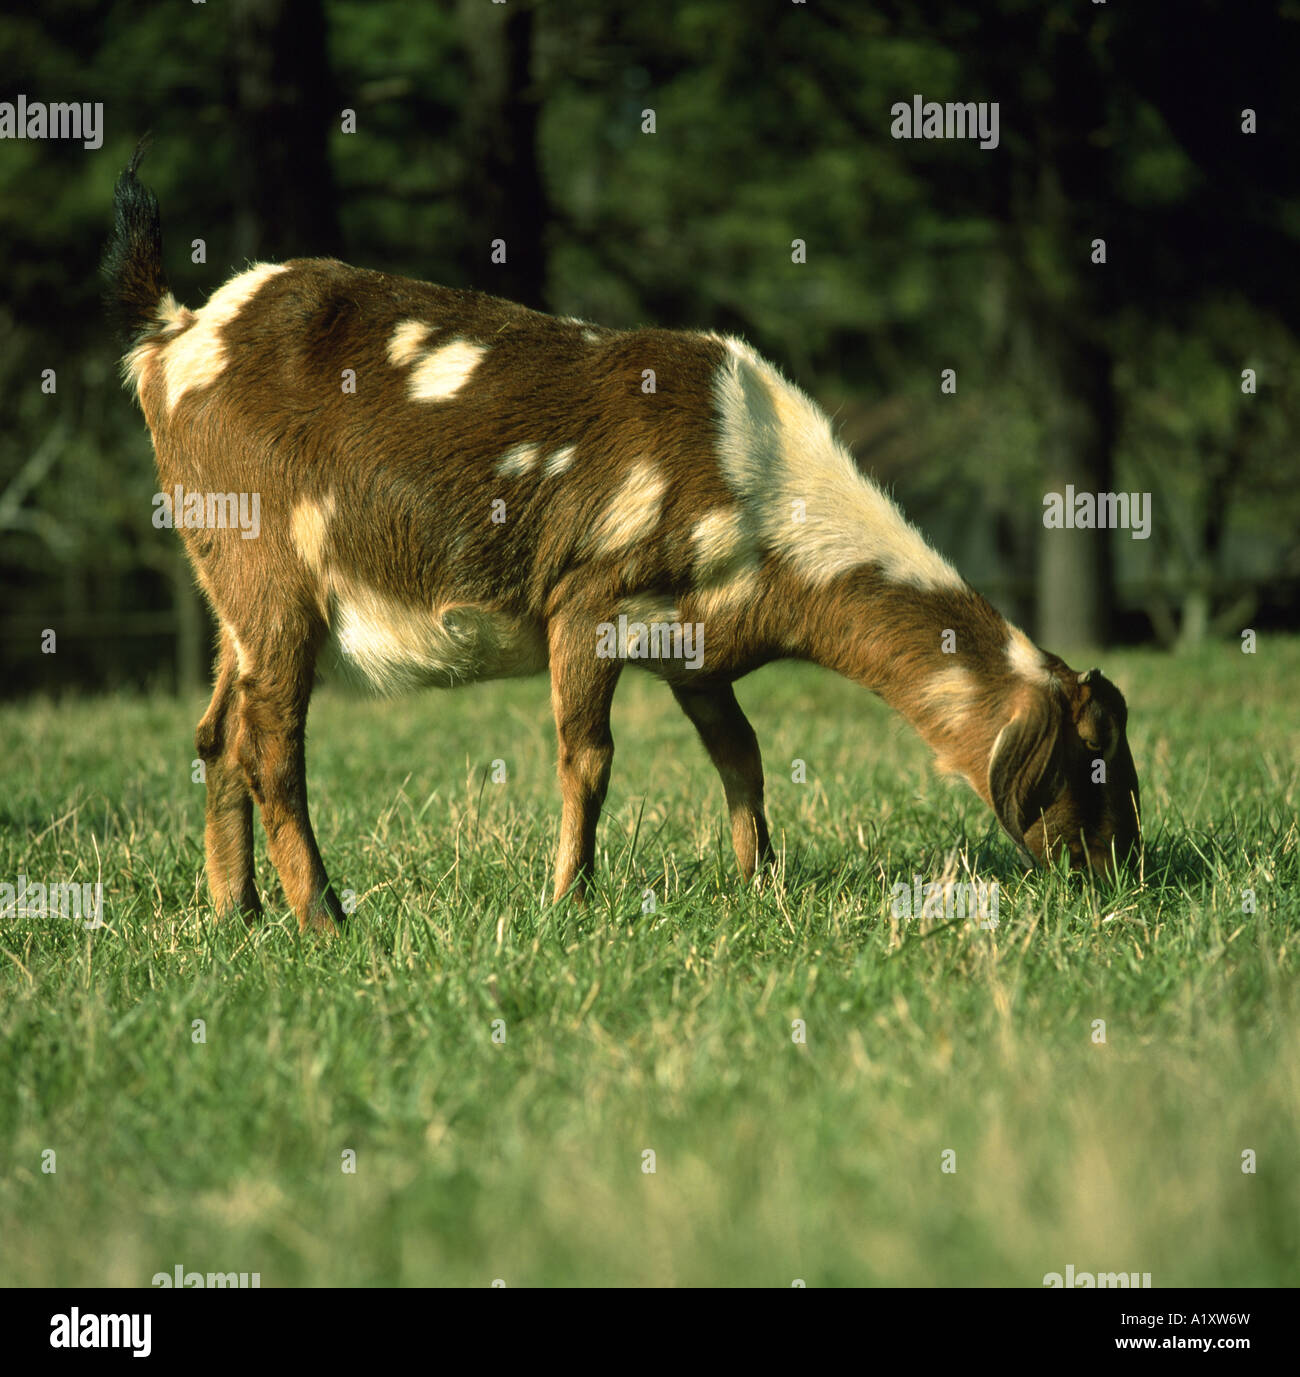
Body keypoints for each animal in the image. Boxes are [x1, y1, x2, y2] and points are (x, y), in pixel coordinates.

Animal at [105, 147, 1140, 934]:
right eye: (1092, 759)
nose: (1128, 872)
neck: (756, 475)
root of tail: (177, 331)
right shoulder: (588, 599)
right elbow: (589, 758)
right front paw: (566, 900)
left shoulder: (695, 646)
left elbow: (741, 752)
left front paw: (759, 883)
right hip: (269, 571)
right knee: (271, 742)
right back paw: (325, 919)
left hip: (225, 589)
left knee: (215, 732)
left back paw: (237, 913)